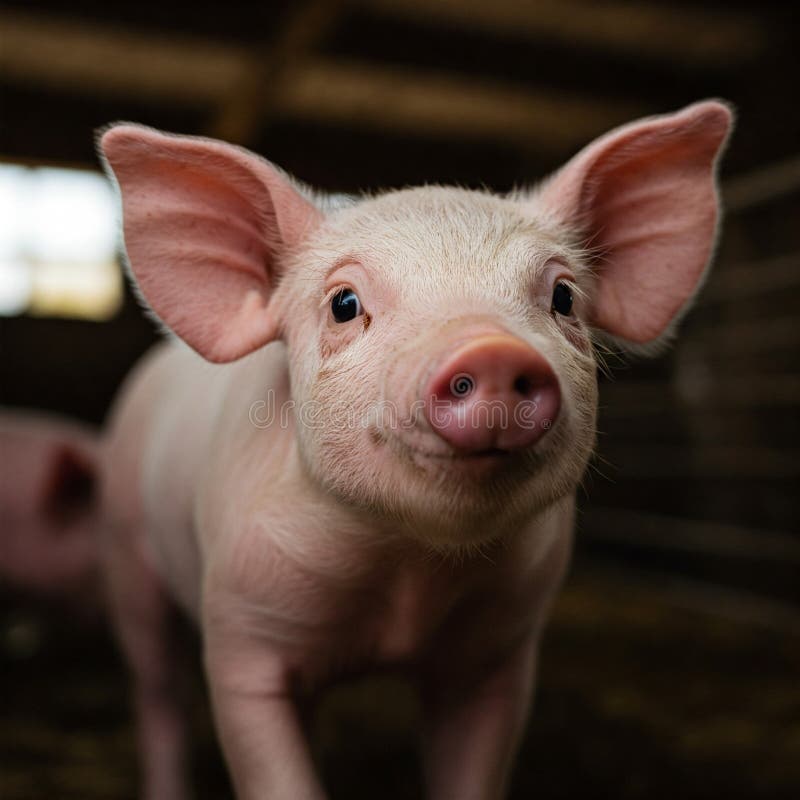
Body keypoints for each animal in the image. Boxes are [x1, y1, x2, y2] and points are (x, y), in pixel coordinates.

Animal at [97, 99, 732, 800]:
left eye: (563, 297)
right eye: (345, 304)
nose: (491, 350)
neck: (405, 576)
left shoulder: (500, 654)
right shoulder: (242, 636)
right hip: (126, 547)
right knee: (158, 692)